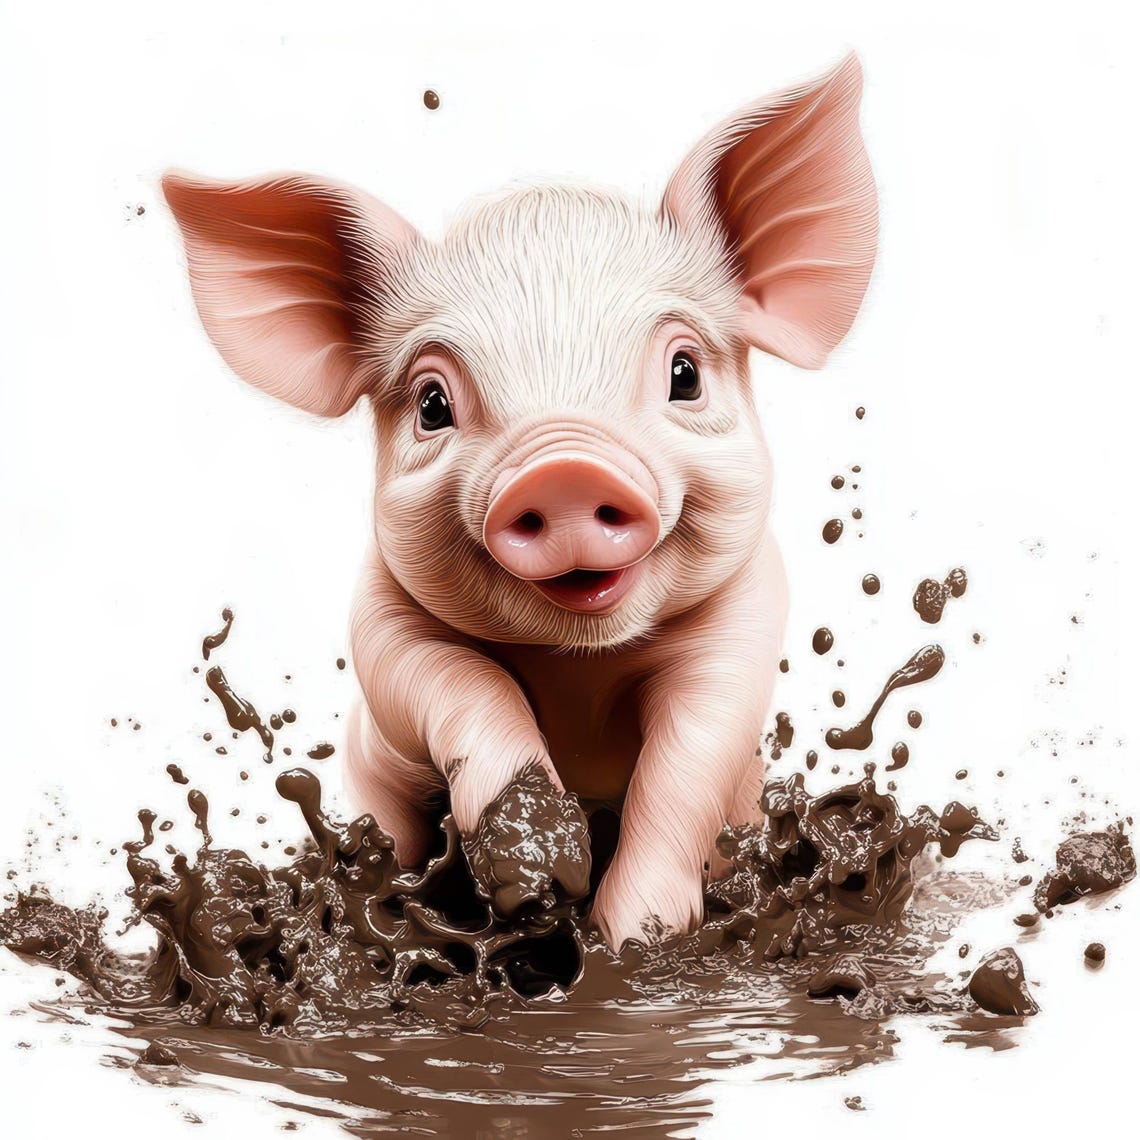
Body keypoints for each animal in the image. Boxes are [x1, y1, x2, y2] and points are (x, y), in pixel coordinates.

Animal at [163, 54, 877, 948]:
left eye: (684, 373)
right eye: (433, 403)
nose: (564, 471)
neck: (582, 667)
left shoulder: (746, 624)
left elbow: (689, 755)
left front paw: (631, 942)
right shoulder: (382, 625)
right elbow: (458, 684)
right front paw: (535, 878)